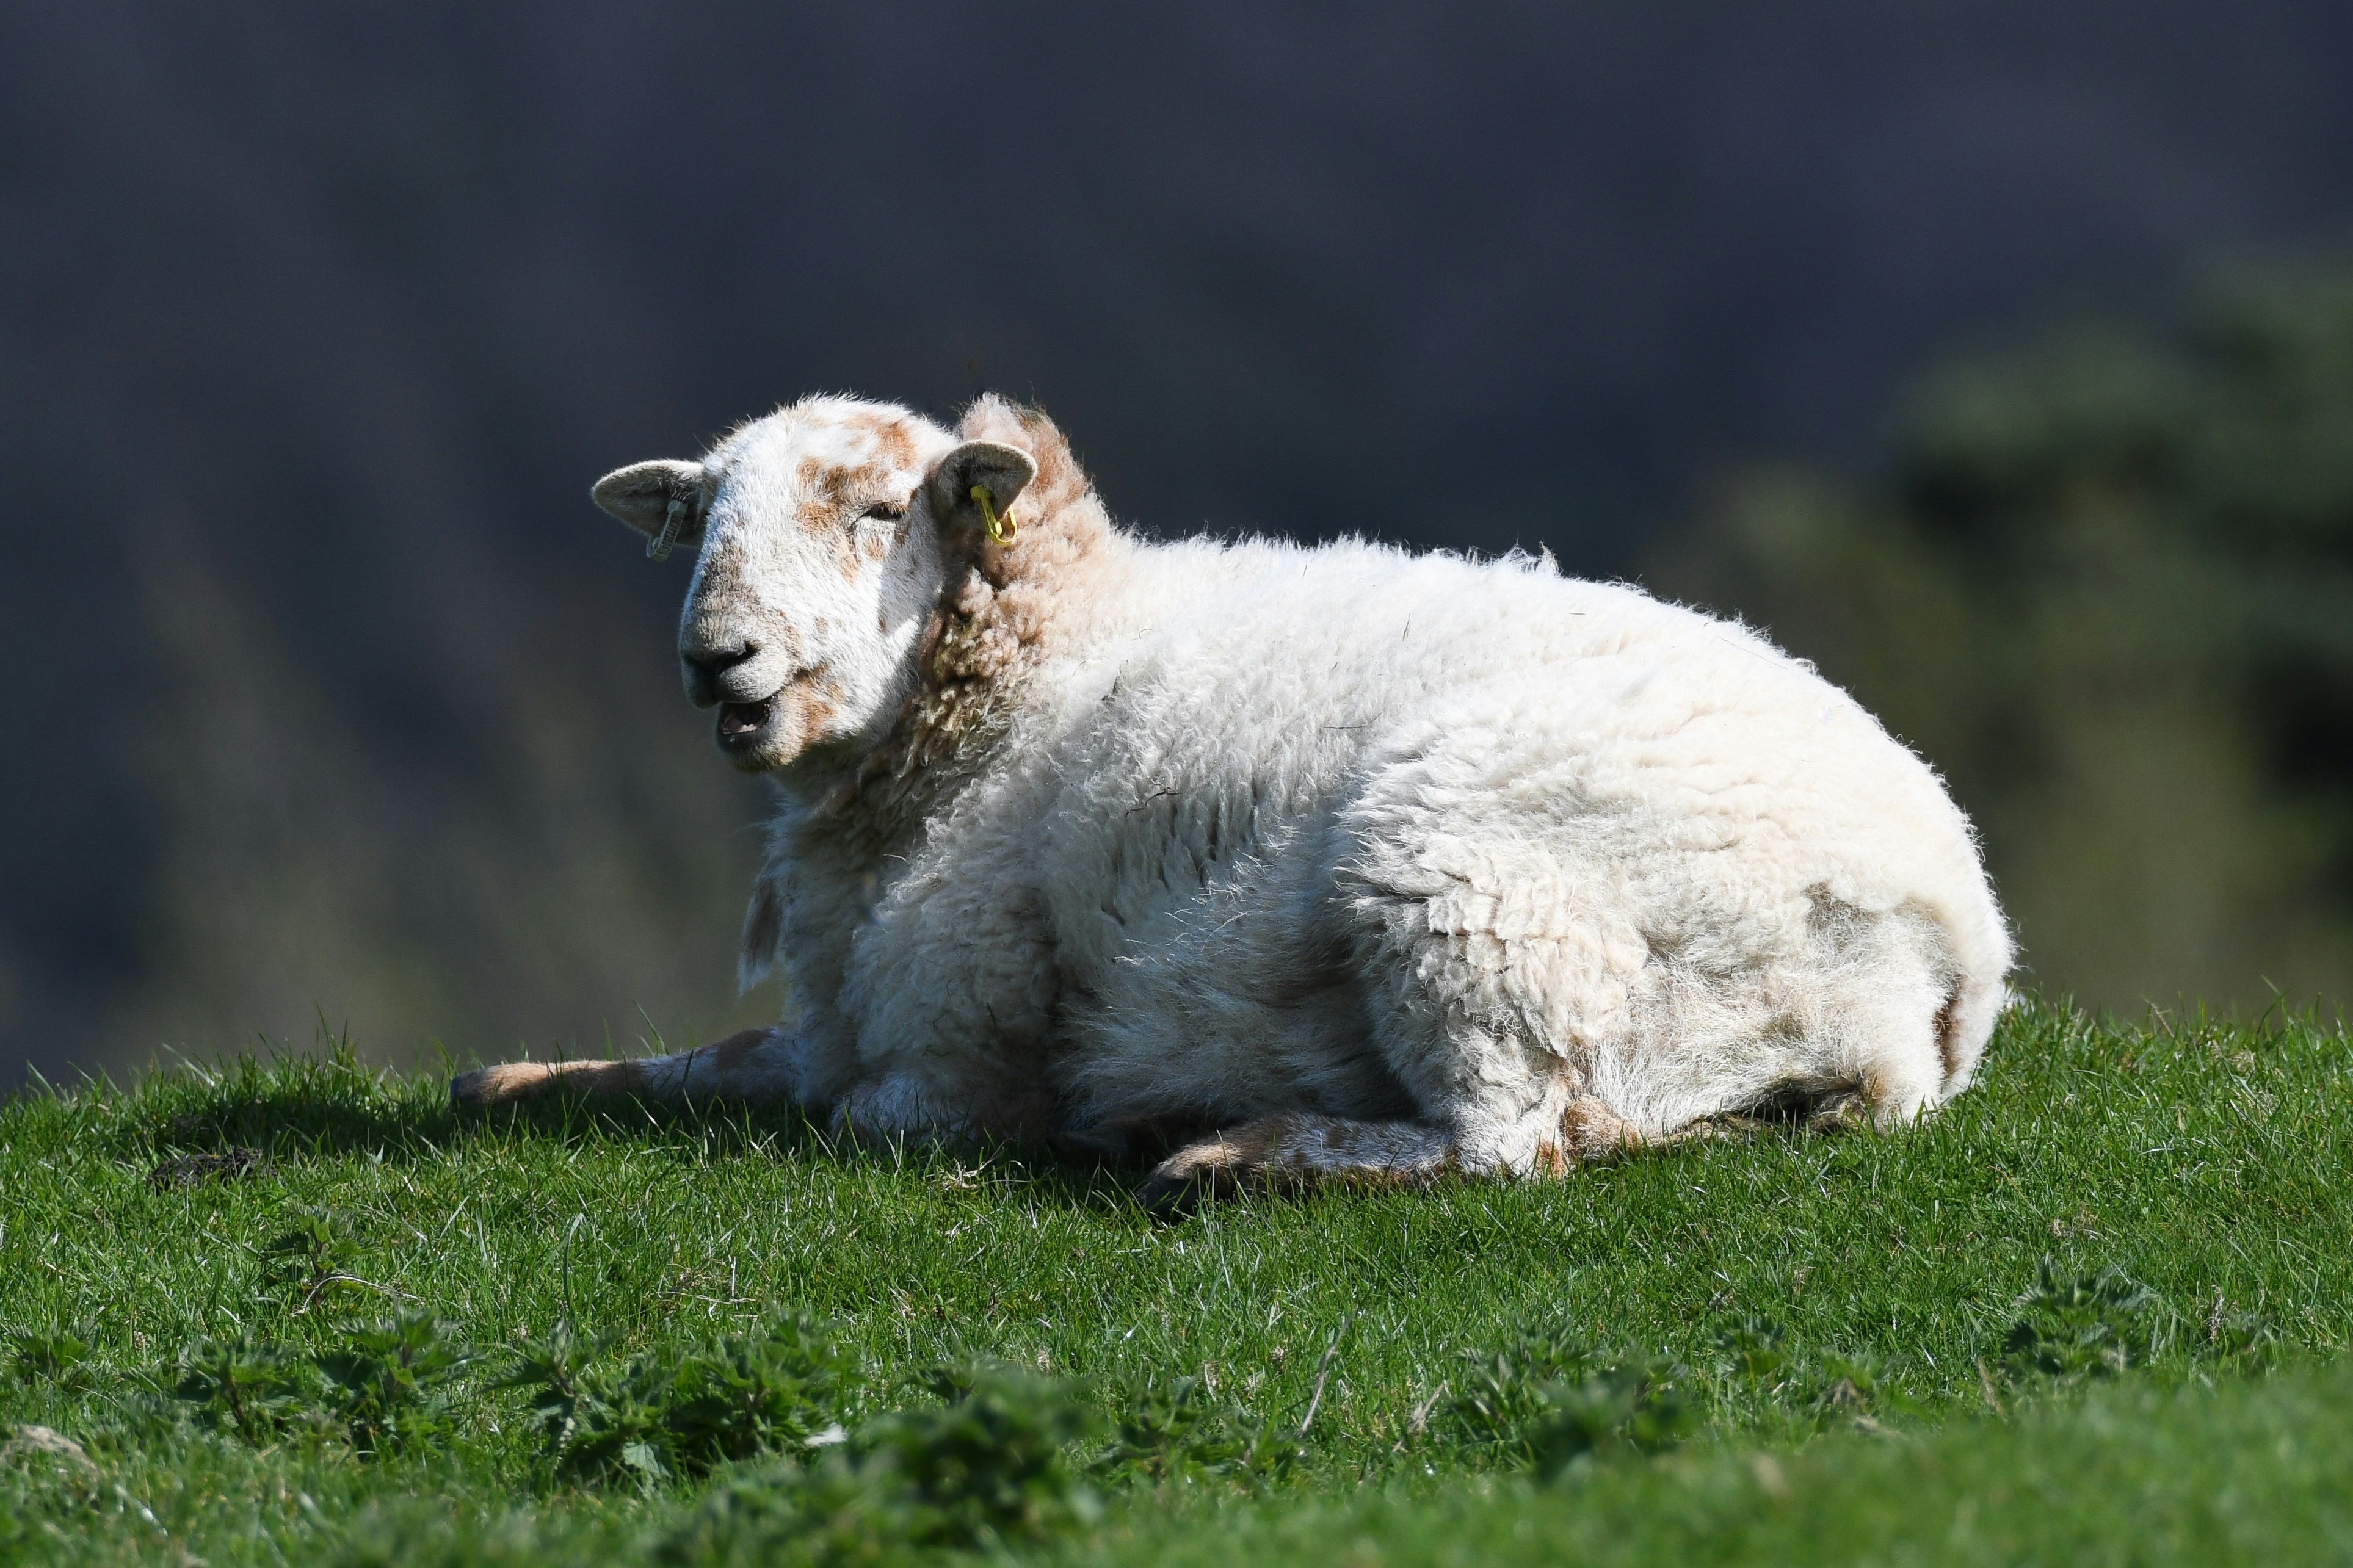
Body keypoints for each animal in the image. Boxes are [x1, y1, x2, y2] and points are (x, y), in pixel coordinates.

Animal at [451, 393, 2012, 1207]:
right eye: (699, 522)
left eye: (884, 513)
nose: (717, 661)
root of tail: (1957, 952)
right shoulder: (832, 1022)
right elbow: (700, 1062)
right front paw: (517, 1082)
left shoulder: (953, 1050)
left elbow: (841, 1118)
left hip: (1462, 884)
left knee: (1510, 1143)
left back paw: (1221, 1151)